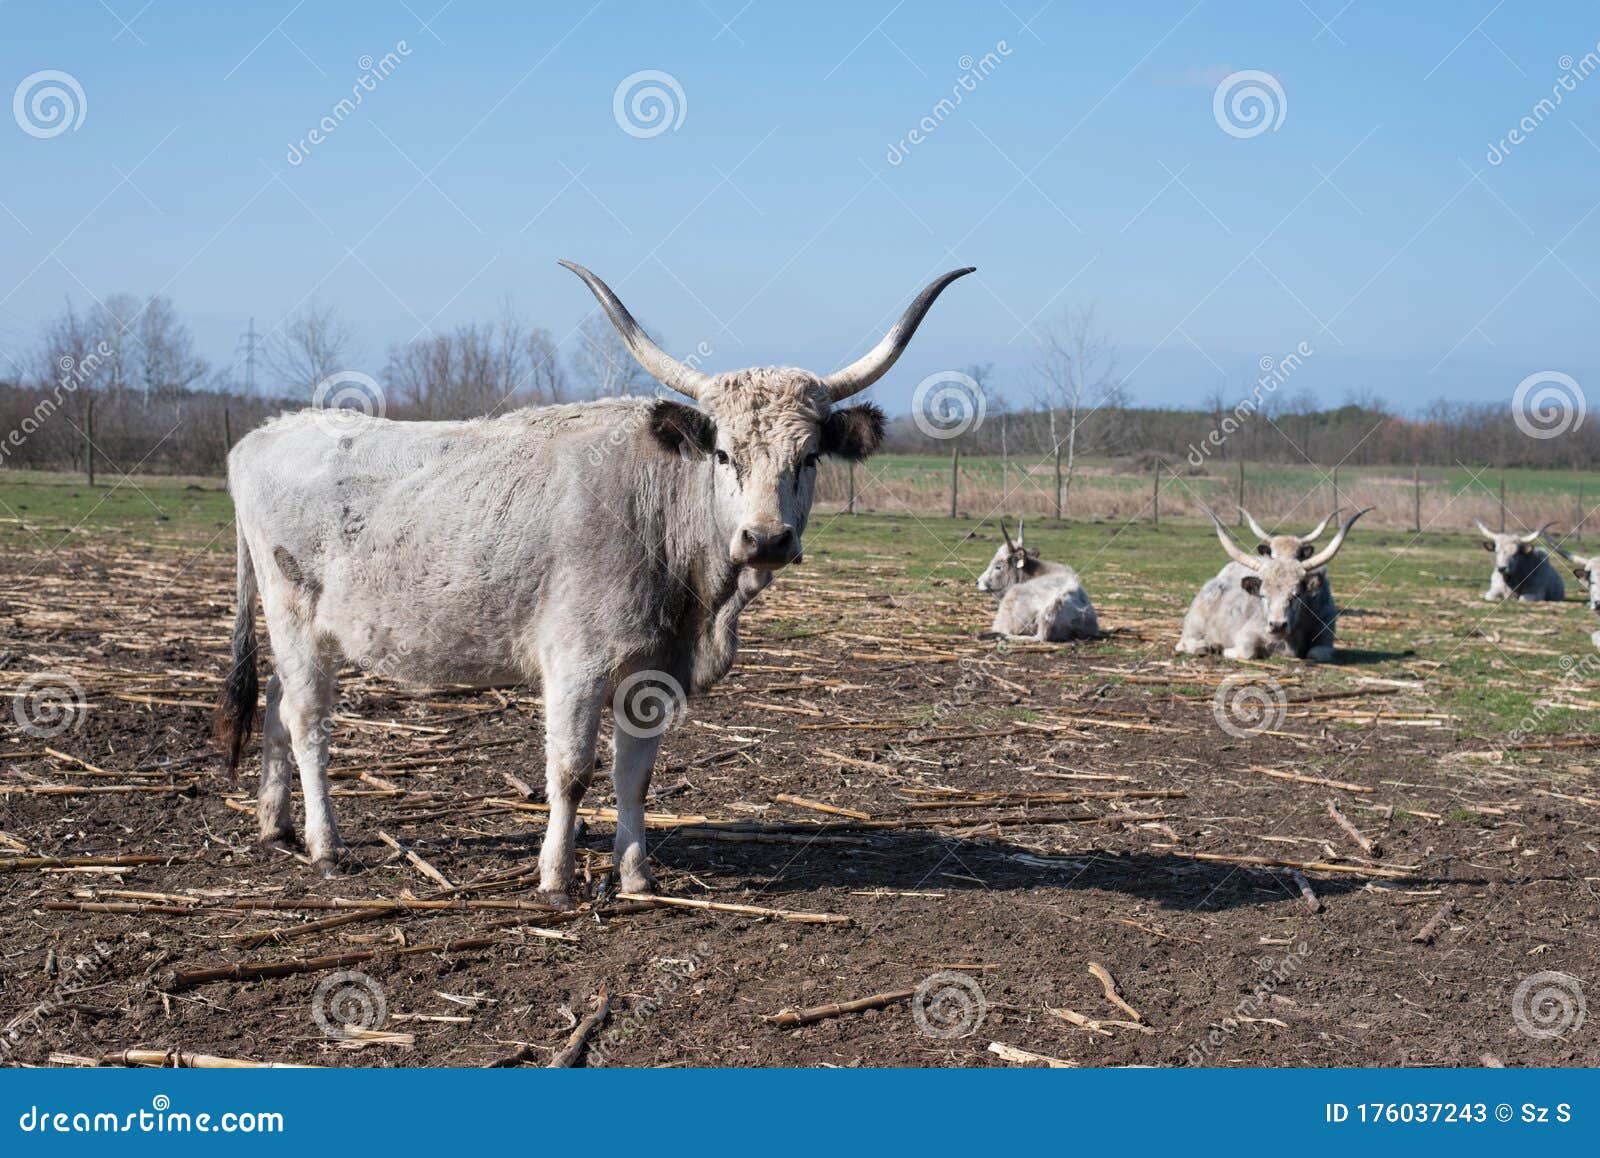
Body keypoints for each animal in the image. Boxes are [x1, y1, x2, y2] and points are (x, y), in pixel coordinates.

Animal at [214, 260, 974, 901]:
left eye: (810, 457)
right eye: (723, 455)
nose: (765, 539)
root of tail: (264, 433)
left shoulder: (654, 671)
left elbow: (634, 776)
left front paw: (635, 875)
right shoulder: (575, 662)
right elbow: (573, 771)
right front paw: (556, 876)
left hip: (302, 632)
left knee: (277, 705)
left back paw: (274, 824)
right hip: (293, 615)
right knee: (308, 722)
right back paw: (325, 844)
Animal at [1176, 508, 1370, 663]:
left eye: (1296, 594)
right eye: (1263, 595)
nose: (1277, 625)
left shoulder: (1326, 639)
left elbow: (1317, 654)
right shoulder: (1247, 632)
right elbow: (1246, 652)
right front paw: (1226, 651)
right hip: (1195, 623)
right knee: (1185, 642)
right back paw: (1206, 646)